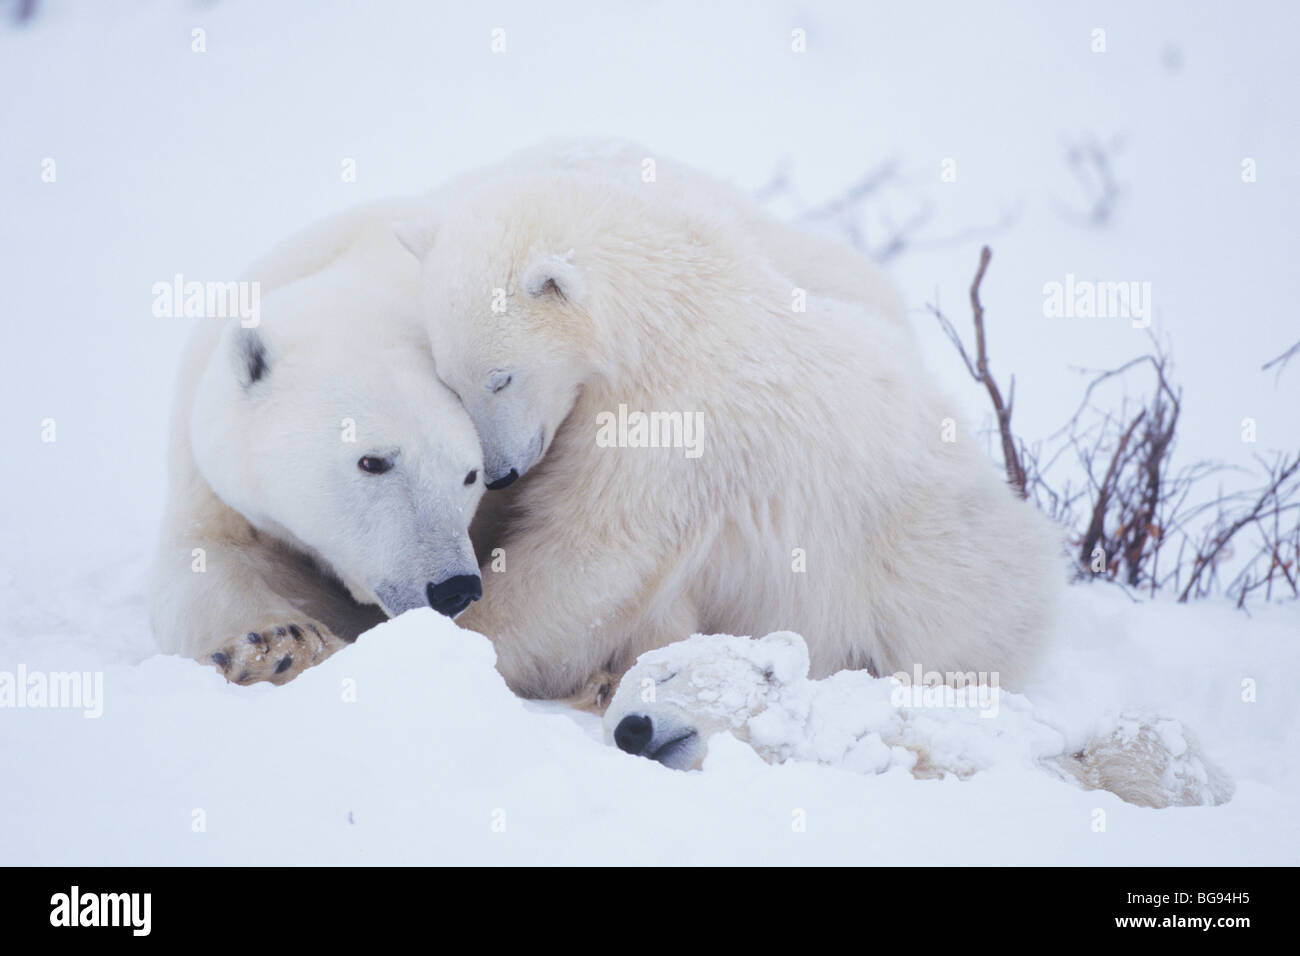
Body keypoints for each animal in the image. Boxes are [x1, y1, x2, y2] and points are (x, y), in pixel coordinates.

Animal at [150, 199, 488, 684]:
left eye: (471, 475)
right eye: (373, 462)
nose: (454, 587)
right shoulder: (210, 465)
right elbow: (199, 559)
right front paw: (279, 647)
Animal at [396, 143, 1064, 706]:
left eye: (501, 377)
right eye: (450, 380)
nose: (502, 473)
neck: (668, 319)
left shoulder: (674, 428)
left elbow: (592, 553)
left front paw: (463, 642)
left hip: (925, 566)